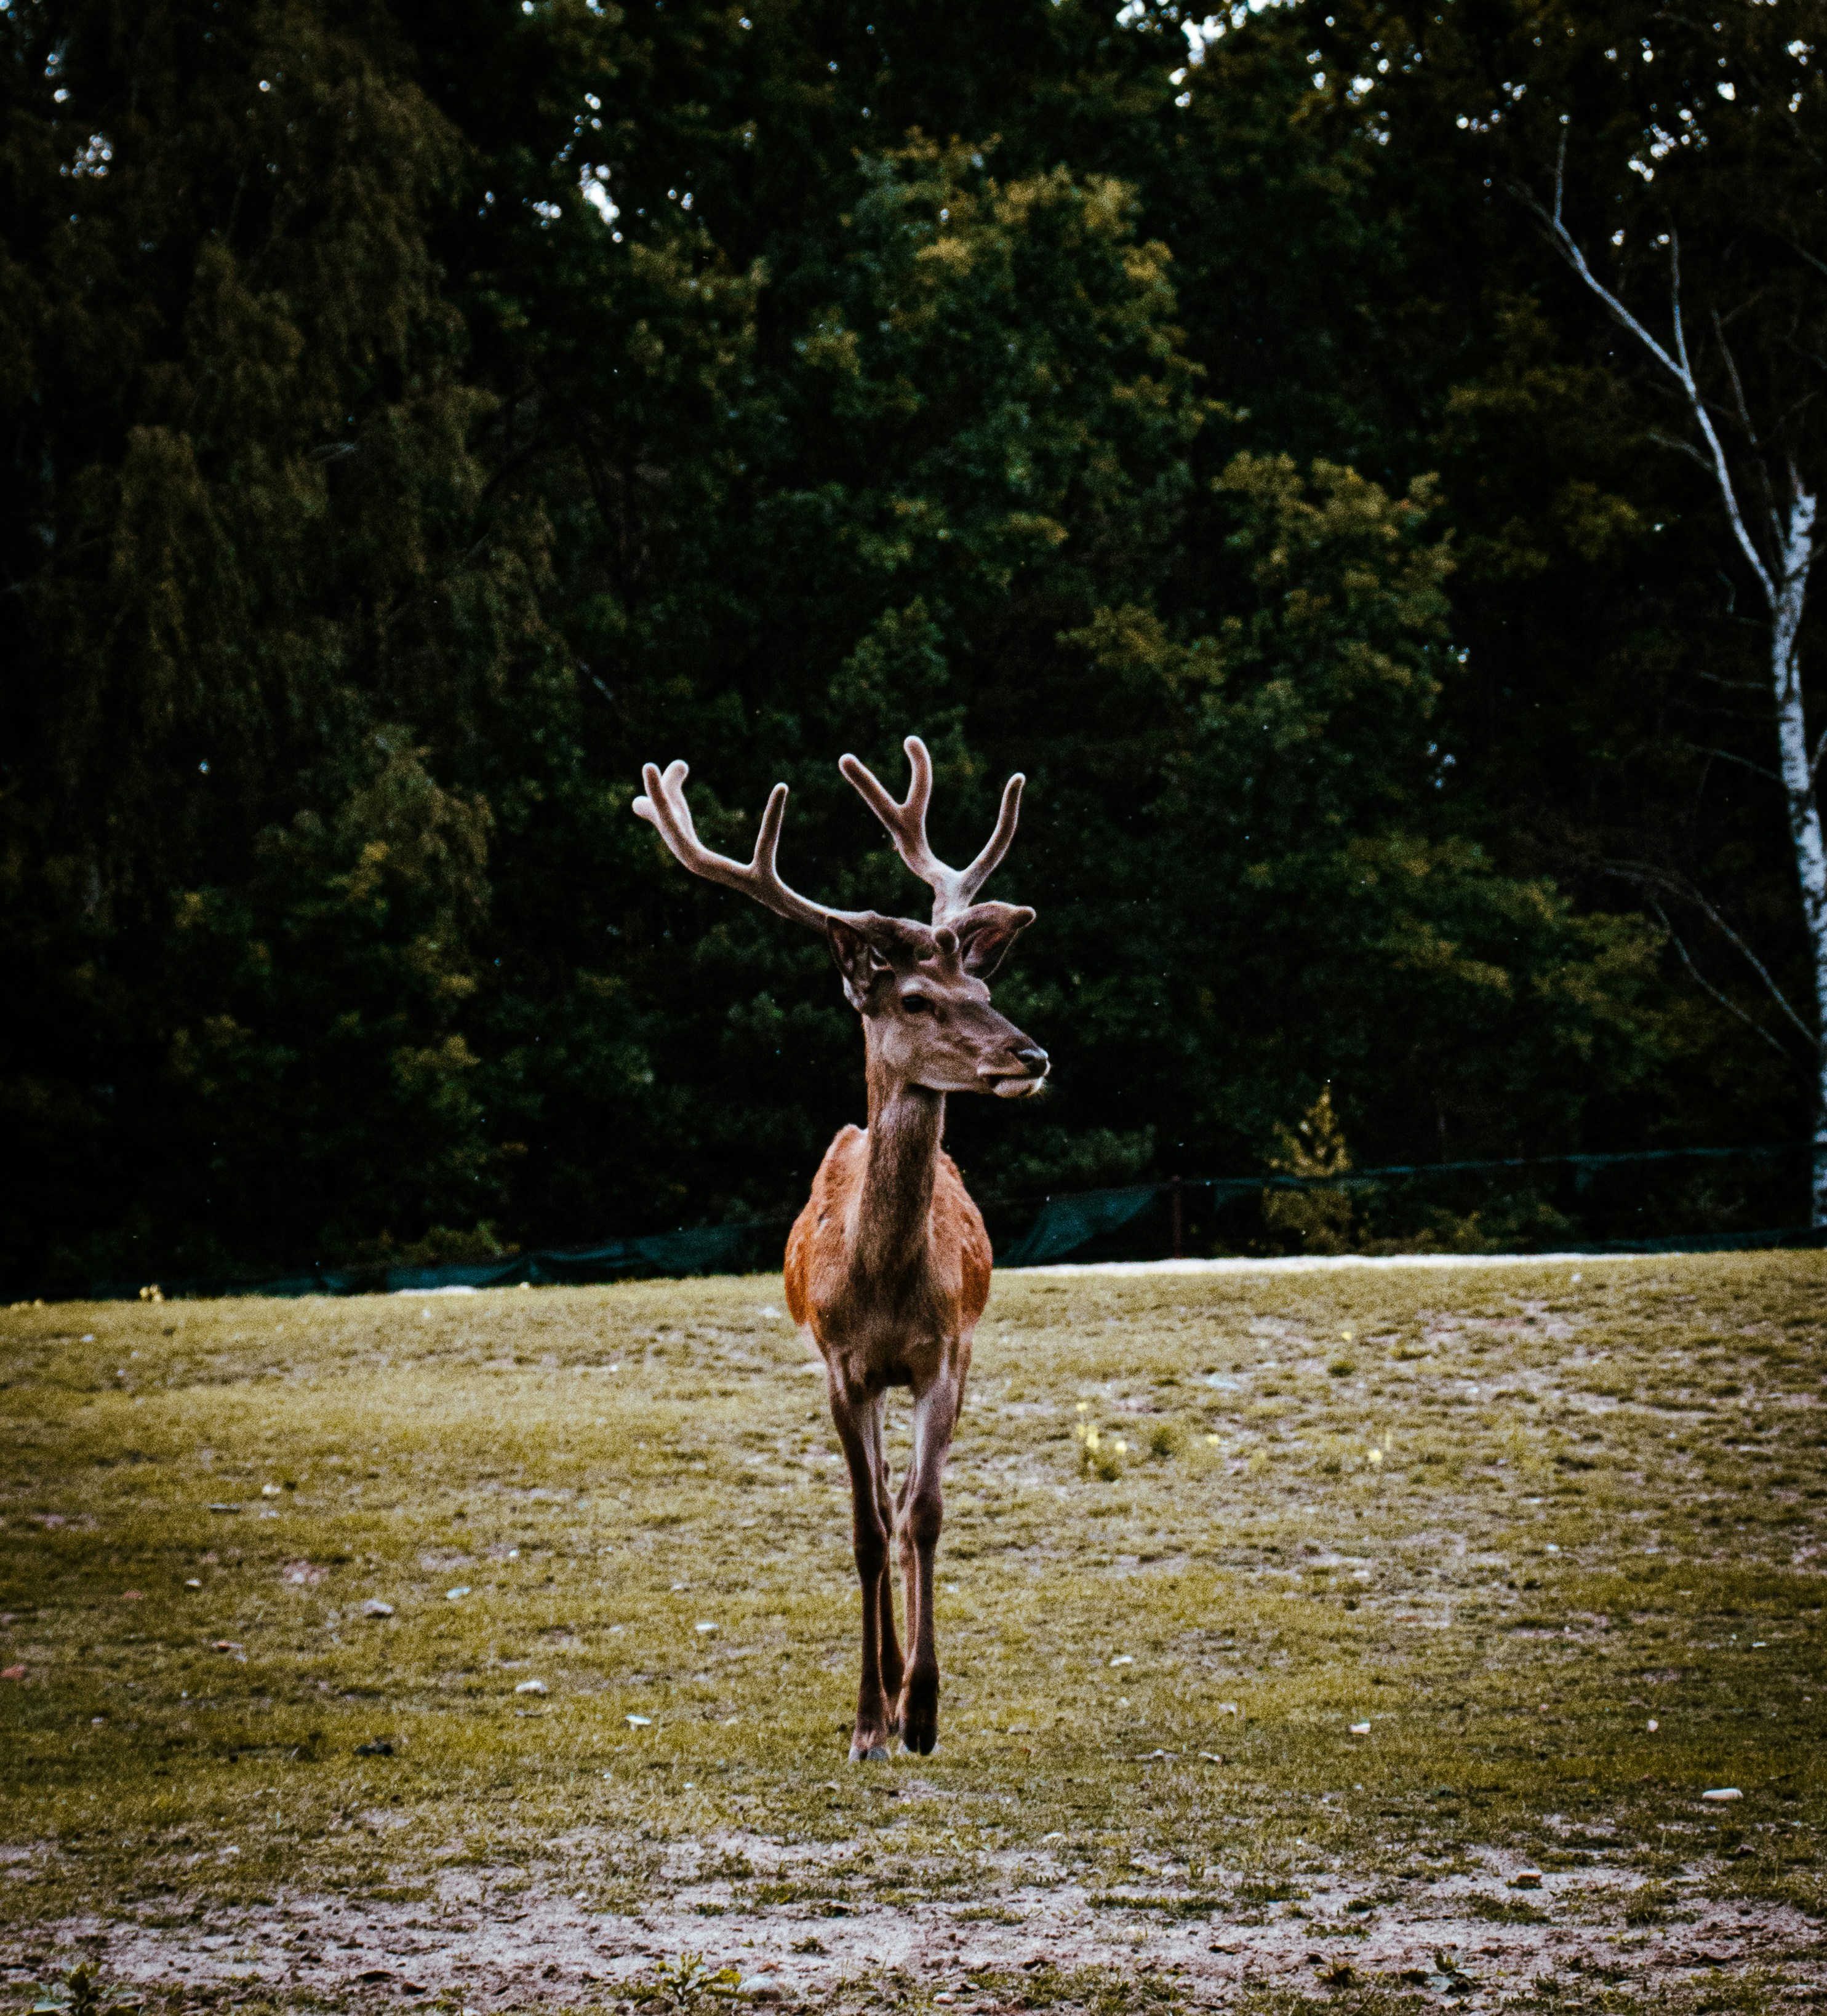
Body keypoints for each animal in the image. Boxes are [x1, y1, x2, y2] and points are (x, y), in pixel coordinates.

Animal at [633, 735, 1048, 1760]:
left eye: (983, 988)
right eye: (916, 997)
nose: (1030, 1056)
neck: (885, 1285)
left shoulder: (948, 1355)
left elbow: (924, 1515)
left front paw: (924, 1708)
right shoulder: (838, 1364)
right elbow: (863, 1529)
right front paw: (868, 1718)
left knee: (905, 1508)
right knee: (878, 1508)